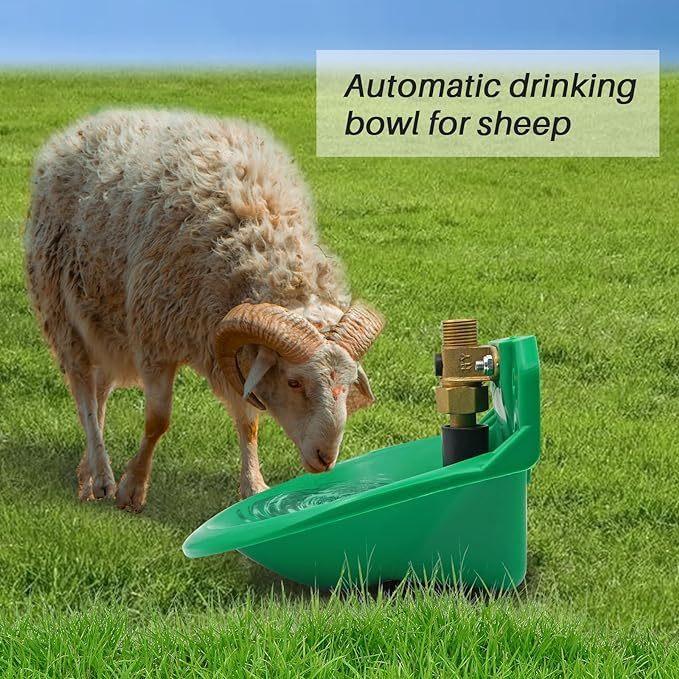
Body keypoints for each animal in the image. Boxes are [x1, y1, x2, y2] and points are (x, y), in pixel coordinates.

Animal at [24, 109, 384, 512]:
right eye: (294, 382)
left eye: (349, 384)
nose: (326, 458)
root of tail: (83, 126)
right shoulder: (154, 338)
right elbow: (157, 420)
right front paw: (132, 489)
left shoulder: (228, 349)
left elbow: (248, 424)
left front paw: (253, 486)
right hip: (61, 308)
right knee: (84, 390)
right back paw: (102, 477)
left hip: (107, 321)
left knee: (99, 390)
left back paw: (87, 474)